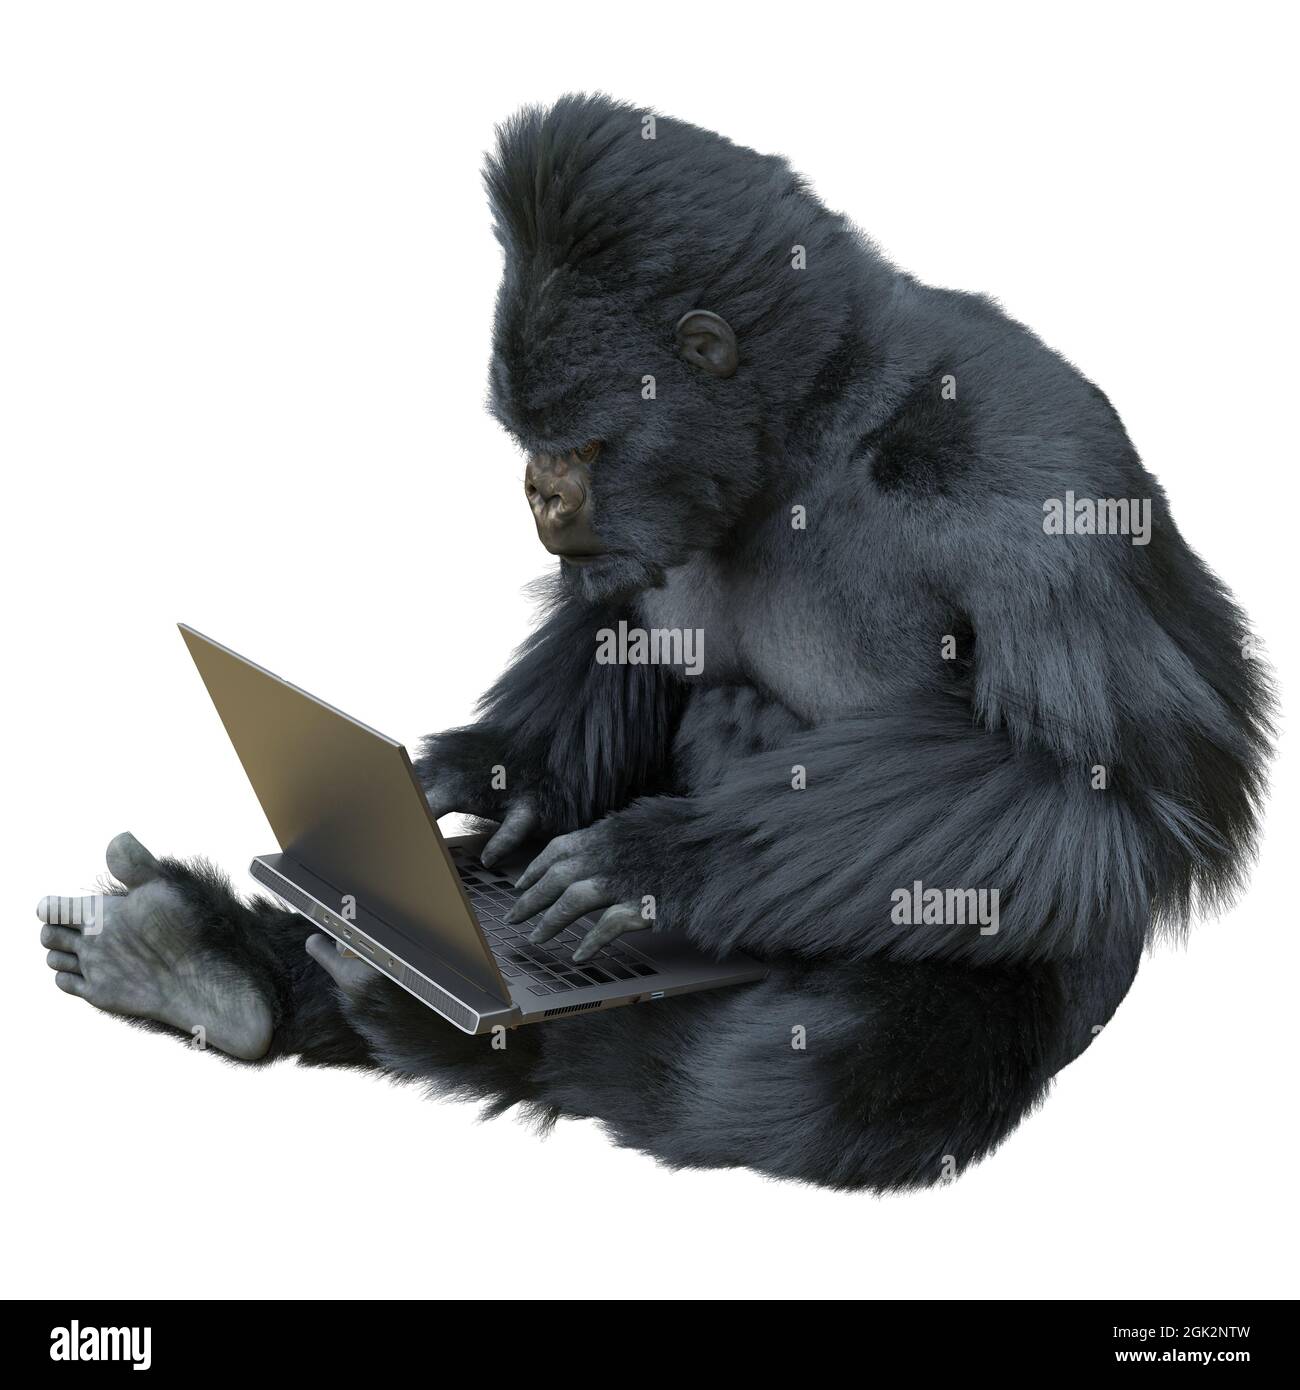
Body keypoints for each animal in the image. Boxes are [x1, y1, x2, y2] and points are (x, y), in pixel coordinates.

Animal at [37, 94, 1271, 1190]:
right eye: (533, 441)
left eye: (575, 444)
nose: (536, 491)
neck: (817, 431)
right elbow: (627, 634)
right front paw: (481, 781)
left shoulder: (1024, 465)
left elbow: (1088, 789)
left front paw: (658, 866)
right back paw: (206, 965)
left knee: (812, 1072)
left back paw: (445, 1021)